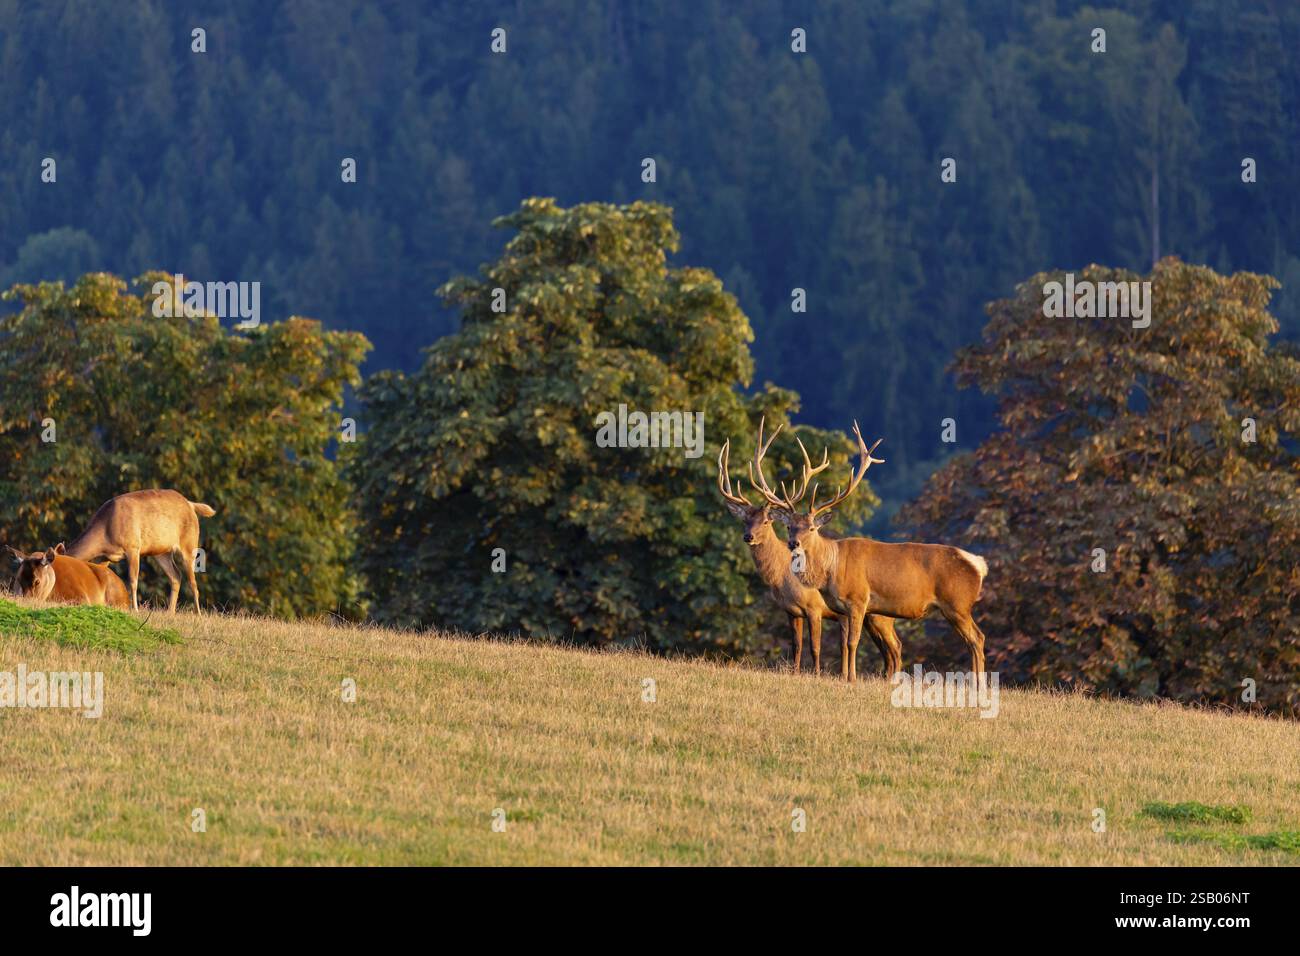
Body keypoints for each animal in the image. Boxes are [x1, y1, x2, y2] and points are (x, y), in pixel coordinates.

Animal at [62, 489, 216, 612]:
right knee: (176, 575)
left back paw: (198, 614)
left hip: (189, 543)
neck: (105, 531)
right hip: (161, 552)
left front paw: (135, 609)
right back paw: (170, 612)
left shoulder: (133, 547)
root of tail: (190, 504)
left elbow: (133, 580)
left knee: (192, 582)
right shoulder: (105, 557)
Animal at [750, 421, 988, 682]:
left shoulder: (858, 599)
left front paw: (851, 678)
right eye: (789, 527)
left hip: (957, 603)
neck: (832, 570)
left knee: (977, 638)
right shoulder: (842, 609)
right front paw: (845, 676)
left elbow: (851, 643)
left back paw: (979, 684)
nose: (794, 543)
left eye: (811, 528)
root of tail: (978, 564)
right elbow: (844, 644)